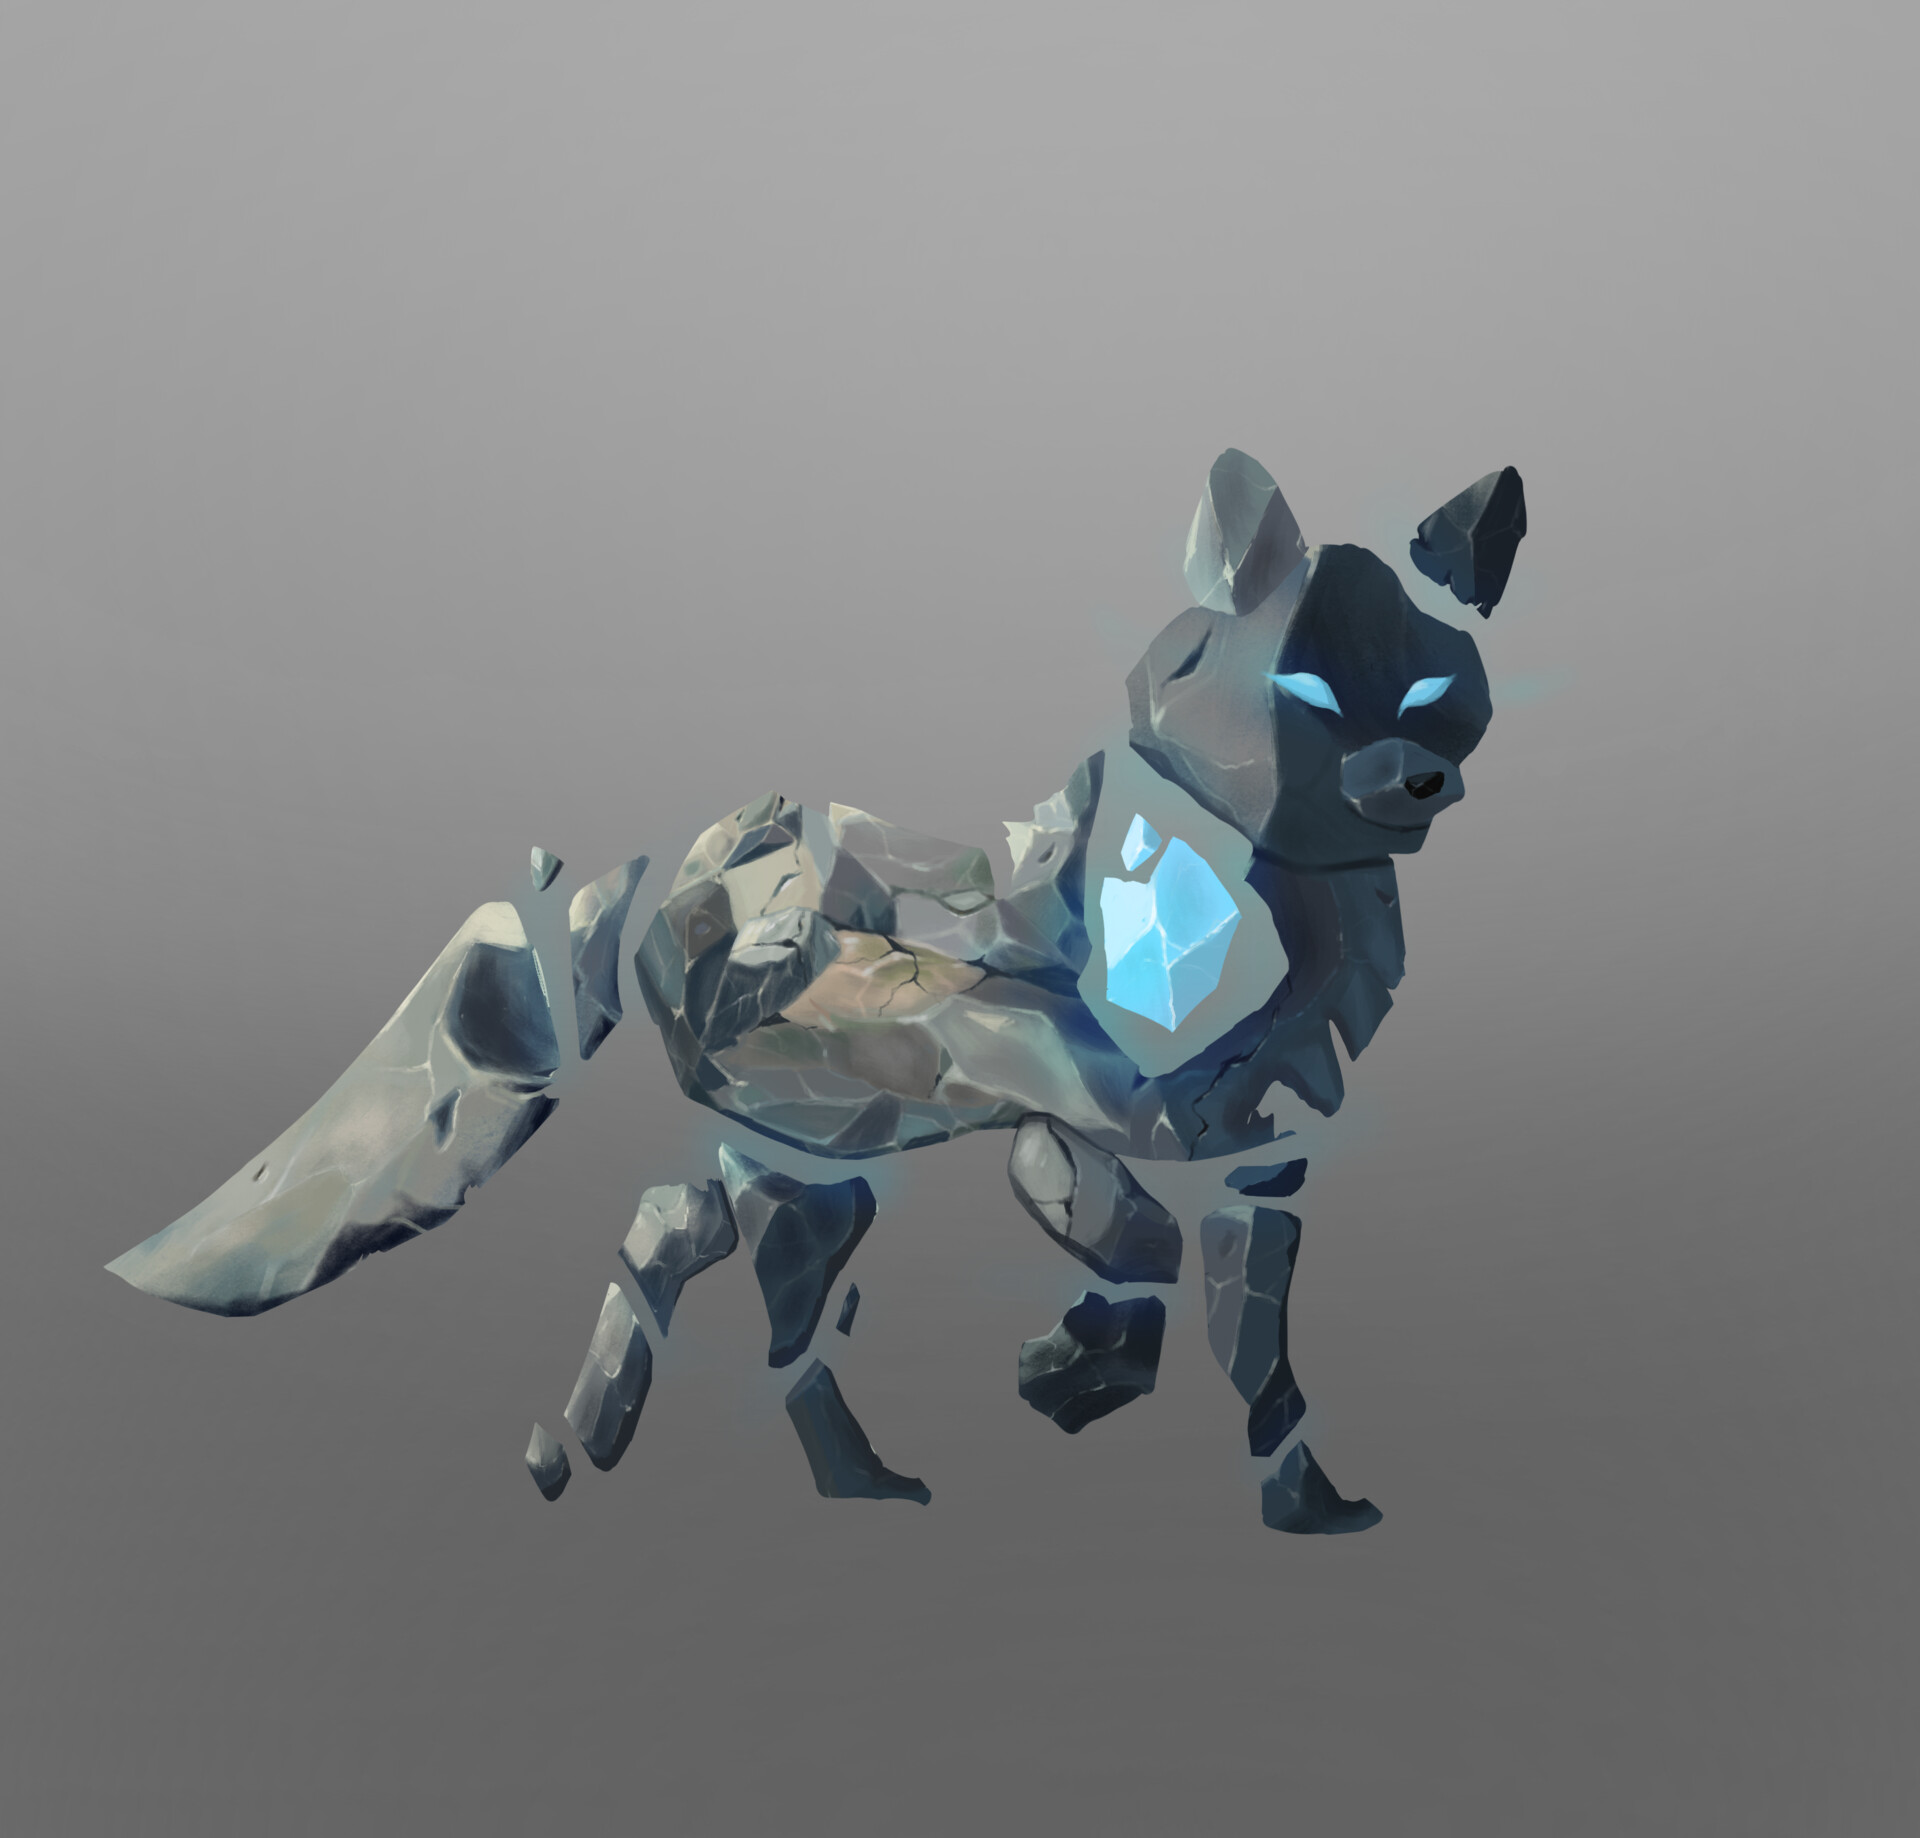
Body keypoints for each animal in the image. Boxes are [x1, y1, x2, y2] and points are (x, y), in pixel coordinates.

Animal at [108, 449, 1526, 1533]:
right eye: (1305, 689)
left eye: (1435, 692)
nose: (1417, 780)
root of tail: (685, 866)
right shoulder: (1057, 1108)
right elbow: (1140, 1249)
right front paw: (1074, 1363)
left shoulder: (1259, 1164)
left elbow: (1252, 1346)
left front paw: (1300, 1495)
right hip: (818, 1124)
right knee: (726, 1265)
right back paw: (637, 1446)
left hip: (813, 1162)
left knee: (717, 1249)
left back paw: (768, 1463)